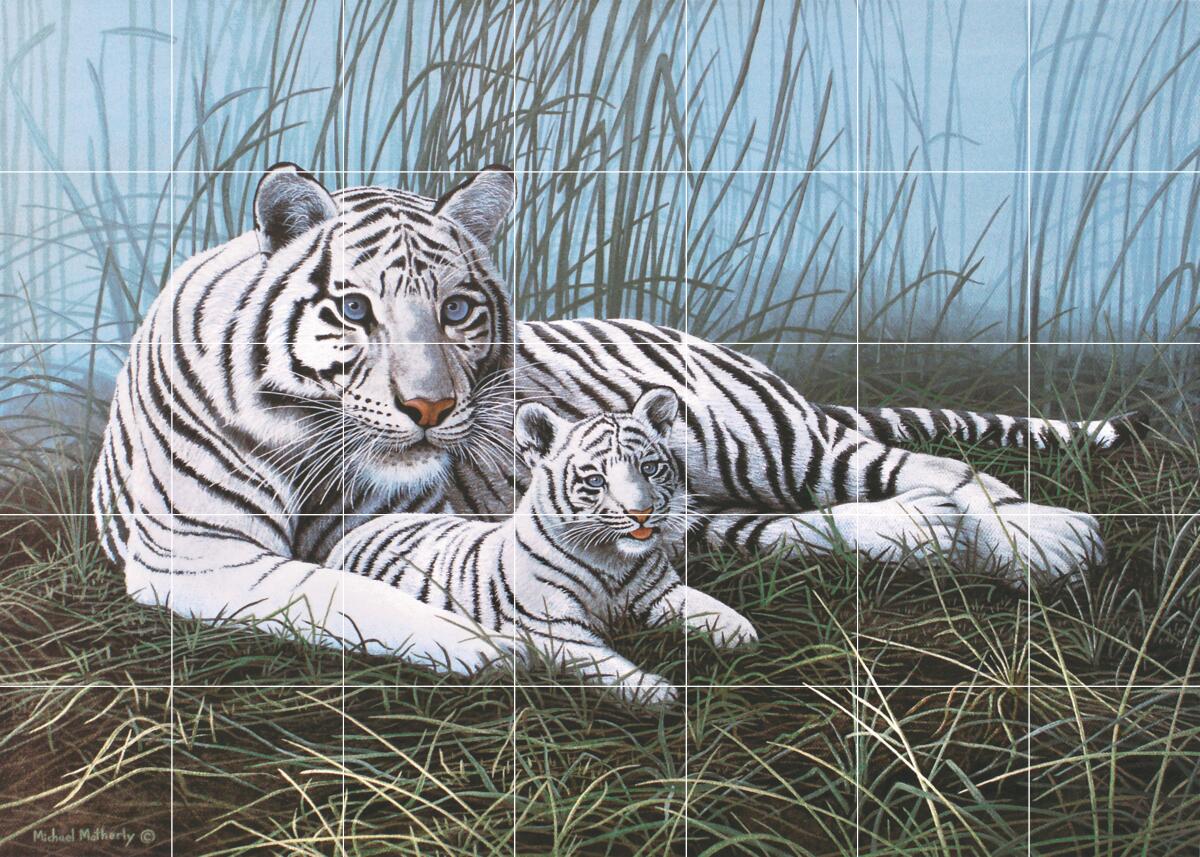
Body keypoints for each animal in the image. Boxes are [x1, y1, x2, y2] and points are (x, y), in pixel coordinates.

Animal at [328, 388, 755, 704]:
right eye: (596, 480)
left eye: (649, 468)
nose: (642, 514)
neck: (611, 561)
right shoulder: (558, 630)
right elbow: (608, 664)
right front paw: (657, 692)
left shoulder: (660, 592)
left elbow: (705, 606)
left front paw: (742, 633)